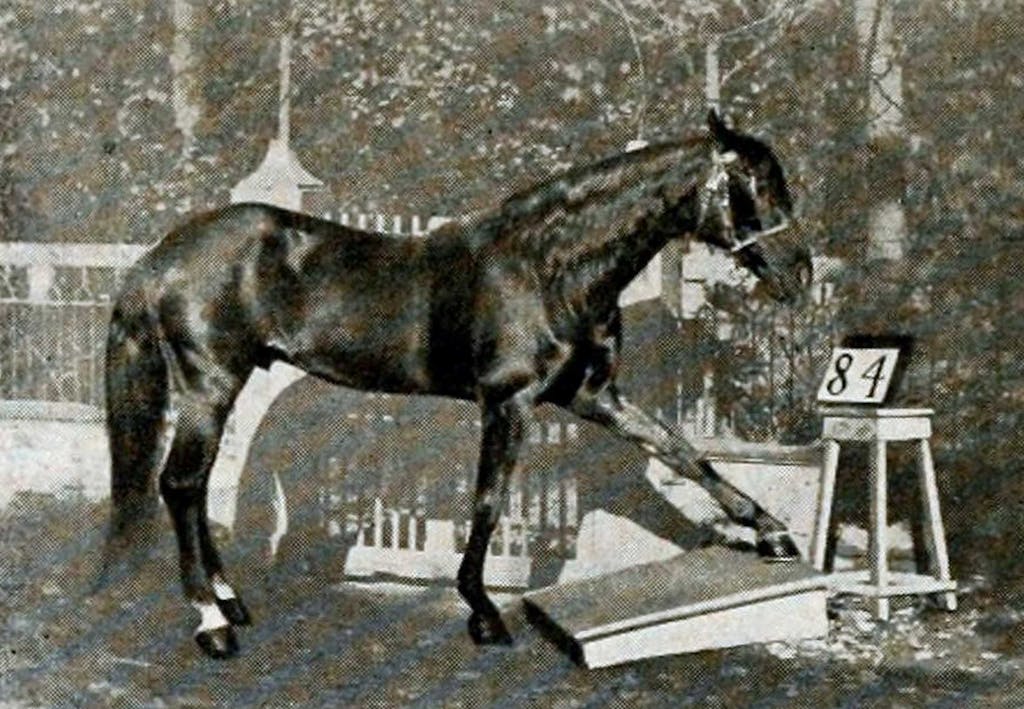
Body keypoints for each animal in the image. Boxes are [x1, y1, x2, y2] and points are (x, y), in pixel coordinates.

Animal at [99, 110, 812, 659]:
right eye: (751, 182)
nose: (798, 272)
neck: (548, 270)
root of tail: (161, 257)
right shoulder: (508, 401)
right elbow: (488, 502)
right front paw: (484, 612)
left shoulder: (593, 397)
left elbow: (684, 453)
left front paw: (773, 533)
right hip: (209, 385)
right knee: (180, 485)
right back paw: (211, 621)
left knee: (193, 487)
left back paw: (228, 600)